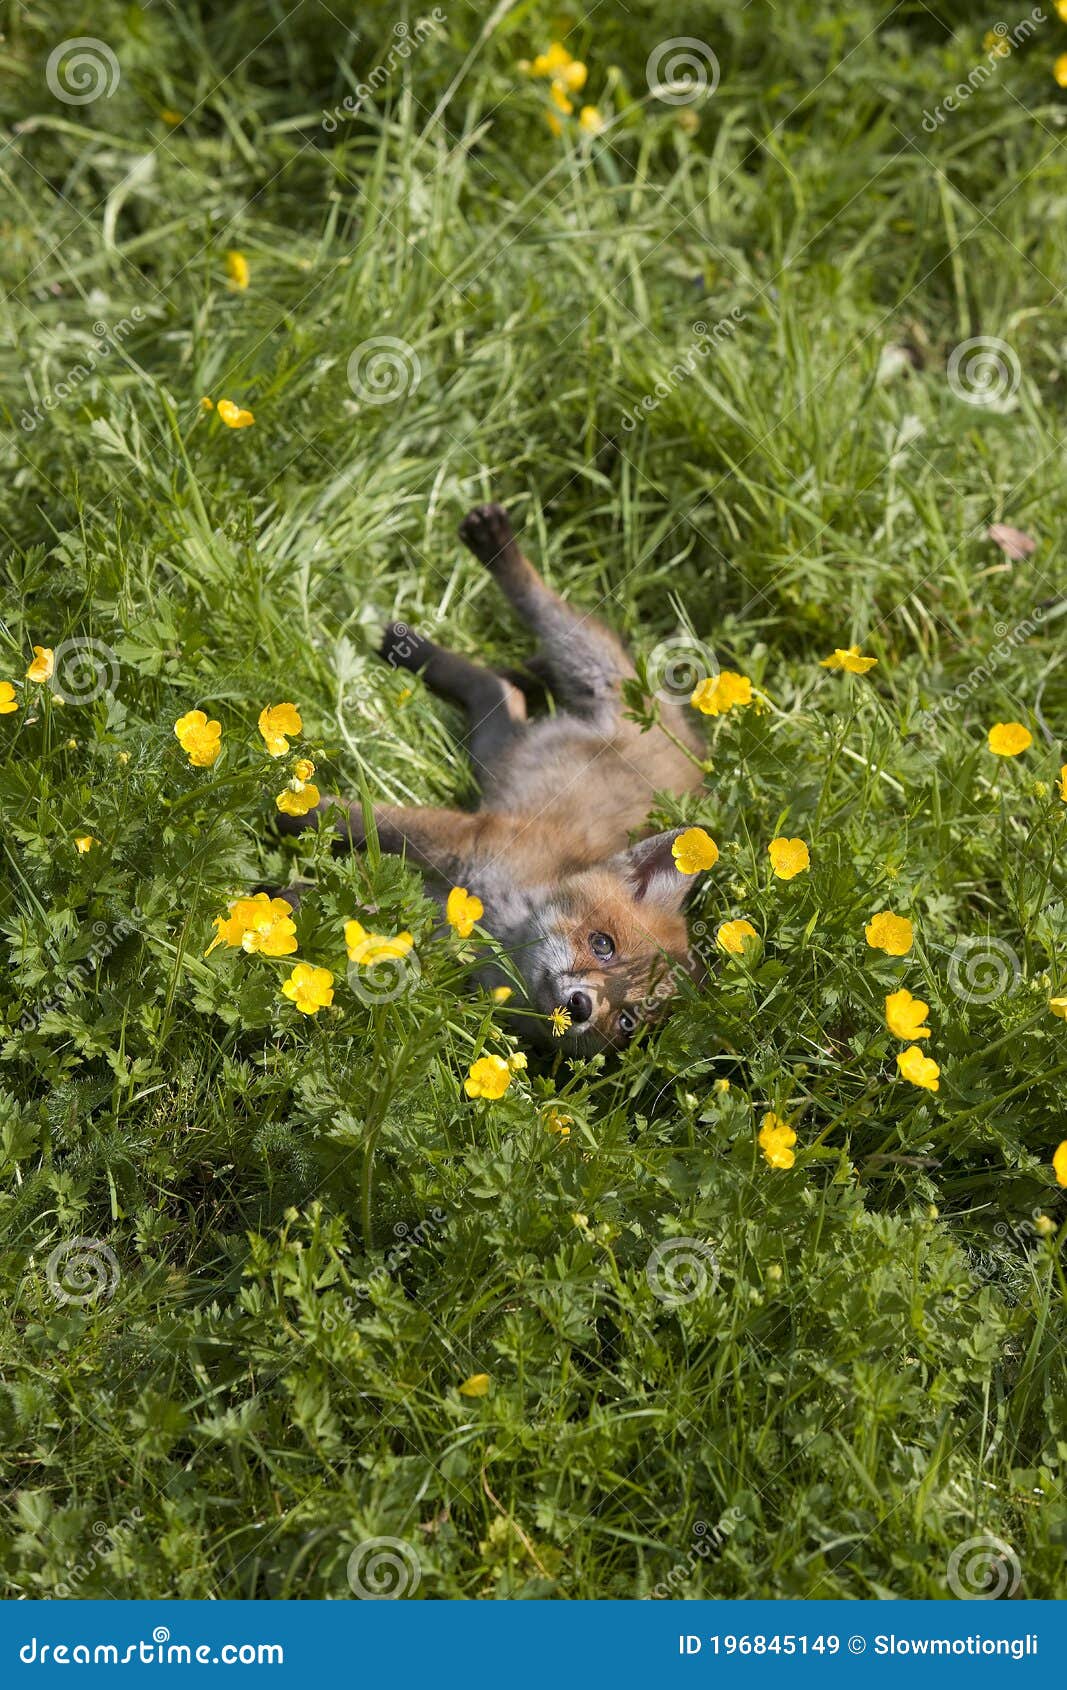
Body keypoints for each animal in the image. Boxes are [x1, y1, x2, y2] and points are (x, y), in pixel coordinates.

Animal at [278, 502, 707, 1050]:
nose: (582, 1007)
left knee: (500, 687)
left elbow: (364, 916)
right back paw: (488, 551)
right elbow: (346, 818)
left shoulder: (440, 910)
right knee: (534, 627)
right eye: (602, 944)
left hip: (495, 750)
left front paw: (282, 904)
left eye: (627, 1020)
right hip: (587, 667)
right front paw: (280, 808)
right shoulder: (468, 841)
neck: (503, 928)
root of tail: (691, 743)